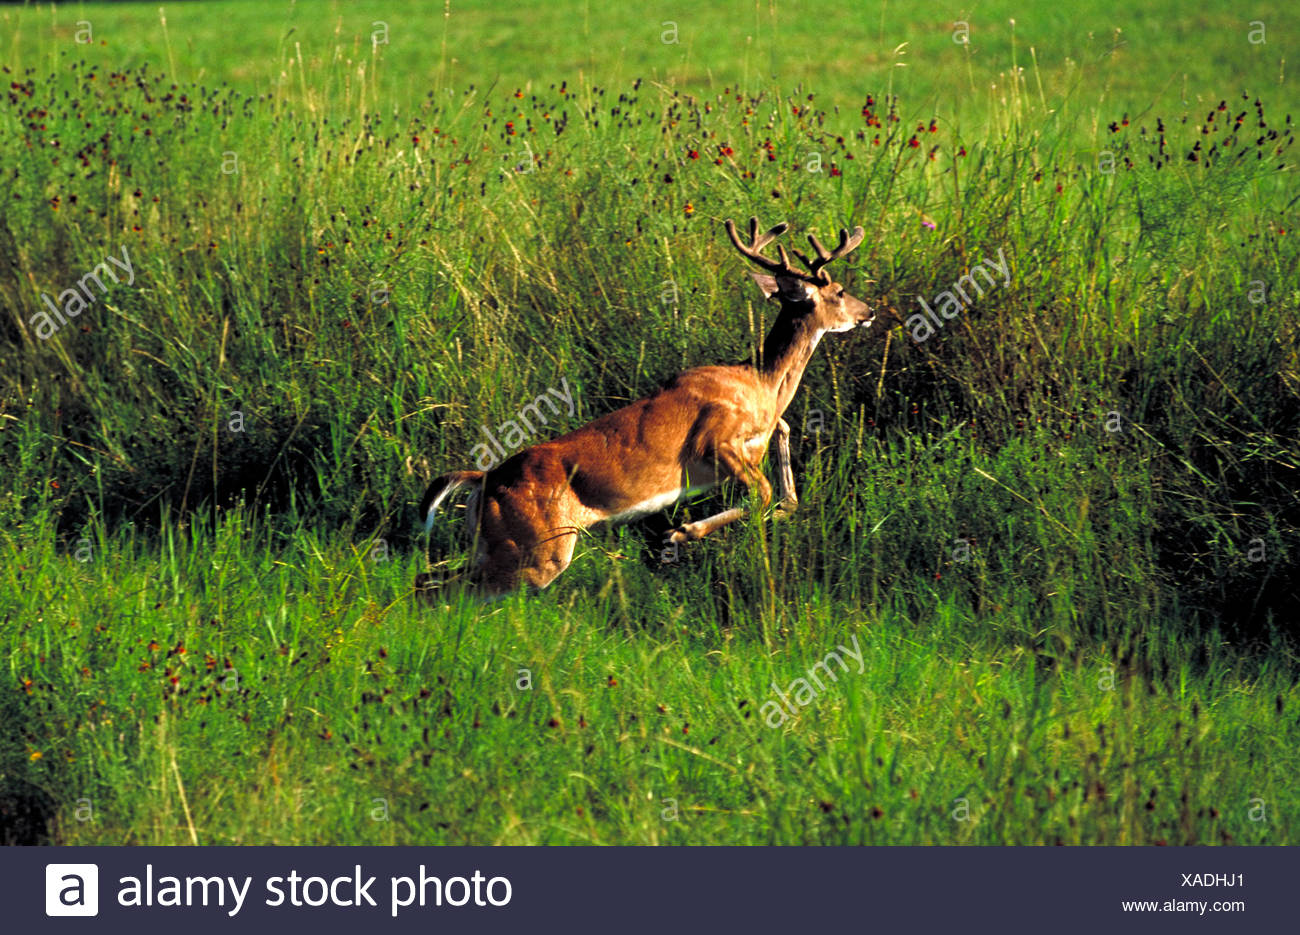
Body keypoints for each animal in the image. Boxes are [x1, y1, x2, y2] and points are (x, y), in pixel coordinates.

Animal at [414, 216, 901, 599]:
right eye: (839, 290)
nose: (870, 311)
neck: (761, 382)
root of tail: (484, 480)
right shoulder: (714, 440)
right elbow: (764, 492)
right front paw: (680, 533)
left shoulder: (761, 436)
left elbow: (786, 488)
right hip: (538, 550)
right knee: (448, 589)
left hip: (495, 545)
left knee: (429, 580)